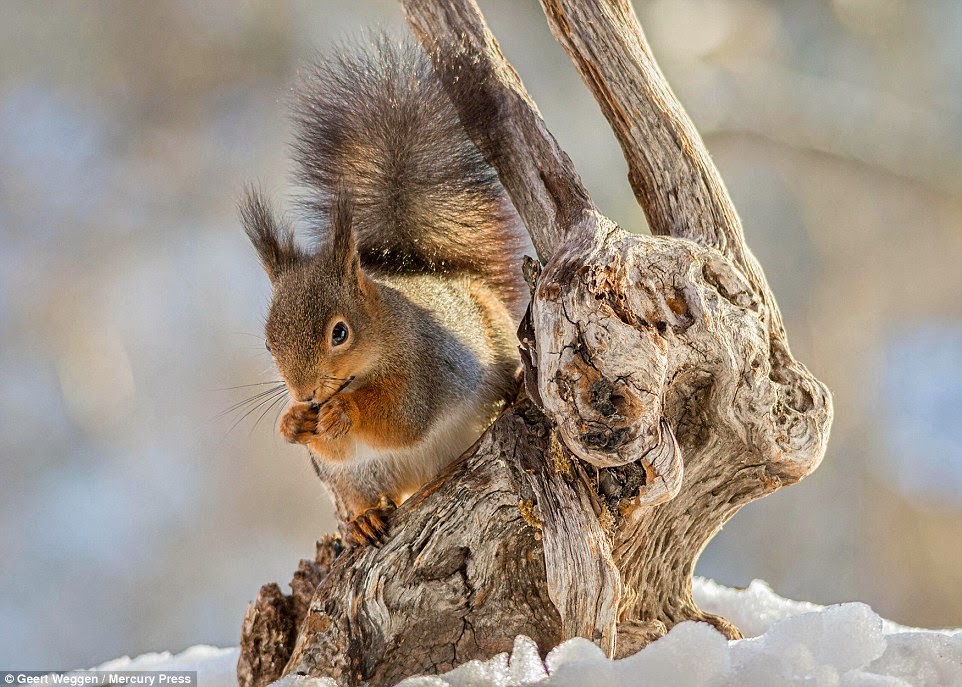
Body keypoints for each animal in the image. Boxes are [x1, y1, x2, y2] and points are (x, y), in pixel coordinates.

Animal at [241, 39, 527, 547]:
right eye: (270, 345)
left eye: (340, 333)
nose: (306, 393)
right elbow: (332, 449)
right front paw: (293, 422)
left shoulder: (423, 367)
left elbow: (400, 418)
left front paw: (344, 412)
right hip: (356, 481)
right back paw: (364, 519)